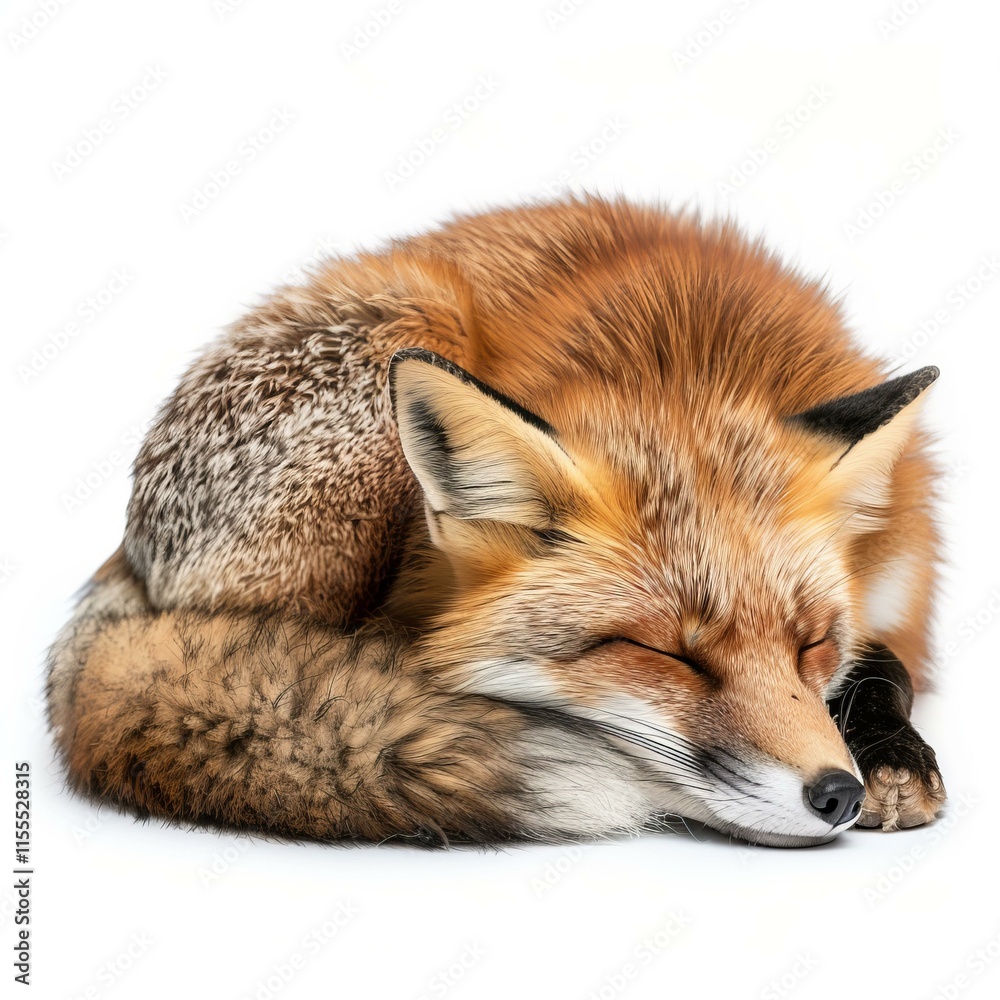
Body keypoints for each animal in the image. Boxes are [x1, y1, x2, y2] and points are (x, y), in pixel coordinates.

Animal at [47, 196, 946, 848]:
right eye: (664, 655)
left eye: (811, 644)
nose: (835, 793)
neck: (694, 360)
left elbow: (885, 667)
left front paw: (892, 754)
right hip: (401, 338)